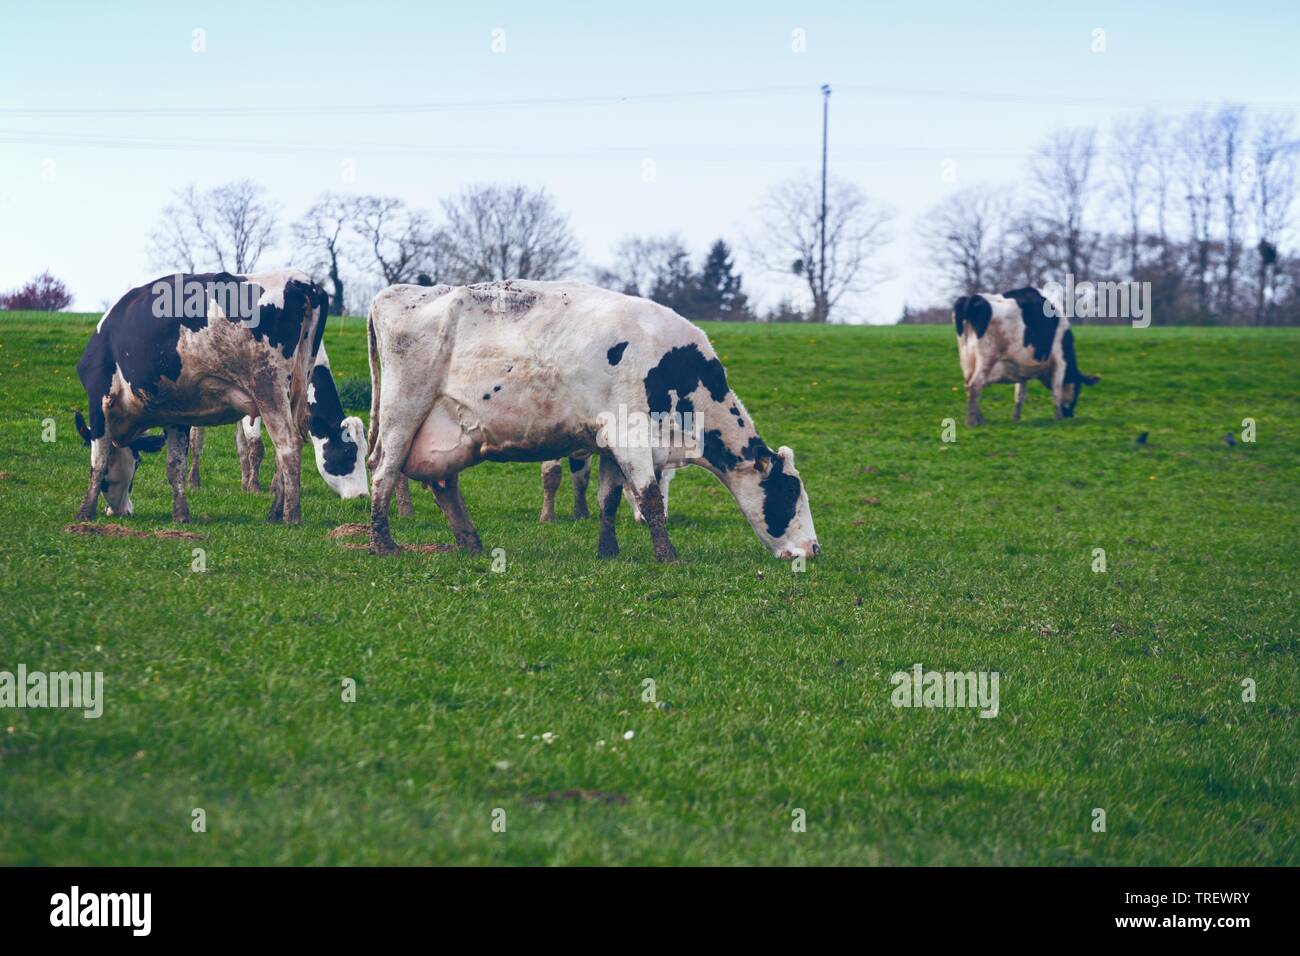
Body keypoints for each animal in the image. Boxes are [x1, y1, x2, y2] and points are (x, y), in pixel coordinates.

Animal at [73, 269, 330, 524]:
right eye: (137, 463)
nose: (121, 511)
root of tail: (299, 279)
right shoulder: (175, 415)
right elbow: (175, 466)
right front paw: (180, 514)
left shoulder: (99, 400)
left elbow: (98, 462)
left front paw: (85, 511)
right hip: (296, 389)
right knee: (283, 450)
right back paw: (275, 512)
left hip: (268, 390)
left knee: (288, 445)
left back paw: (290, 515)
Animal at [183, 343, 368, 499]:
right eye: (348, 451)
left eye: (365, 452)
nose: (362, 495)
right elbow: (257, 446)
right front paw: (254, 487)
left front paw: (274, 488)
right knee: (197, 437)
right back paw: (193, 481)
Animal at [365, 280, 818, 562]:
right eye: (790, 493)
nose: (814, 549)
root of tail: (397, 292)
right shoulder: (630, 435)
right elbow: (649, 498)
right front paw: (668, 557)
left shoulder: (608, 443)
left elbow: (610, 500)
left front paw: (608, 551)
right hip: (402, 415)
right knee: (383, 474)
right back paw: (384, 543)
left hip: (449, 430)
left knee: (444, 484)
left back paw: (471, 543)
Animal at [953, 287, 1100, 426]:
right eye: (1078, 389)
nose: (1070, 415)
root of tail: (975, 298)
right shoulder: (1060, 360)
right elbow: (1056, 391)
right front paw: (1058, 418)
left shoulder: (1020, 368)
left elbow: (1020, 395)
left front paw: (1016, 419)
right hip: (987, 358)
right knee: (975, 385)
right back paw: (972, 422)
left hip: (967, 360)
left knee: (968, 385)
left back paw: (980, 419)